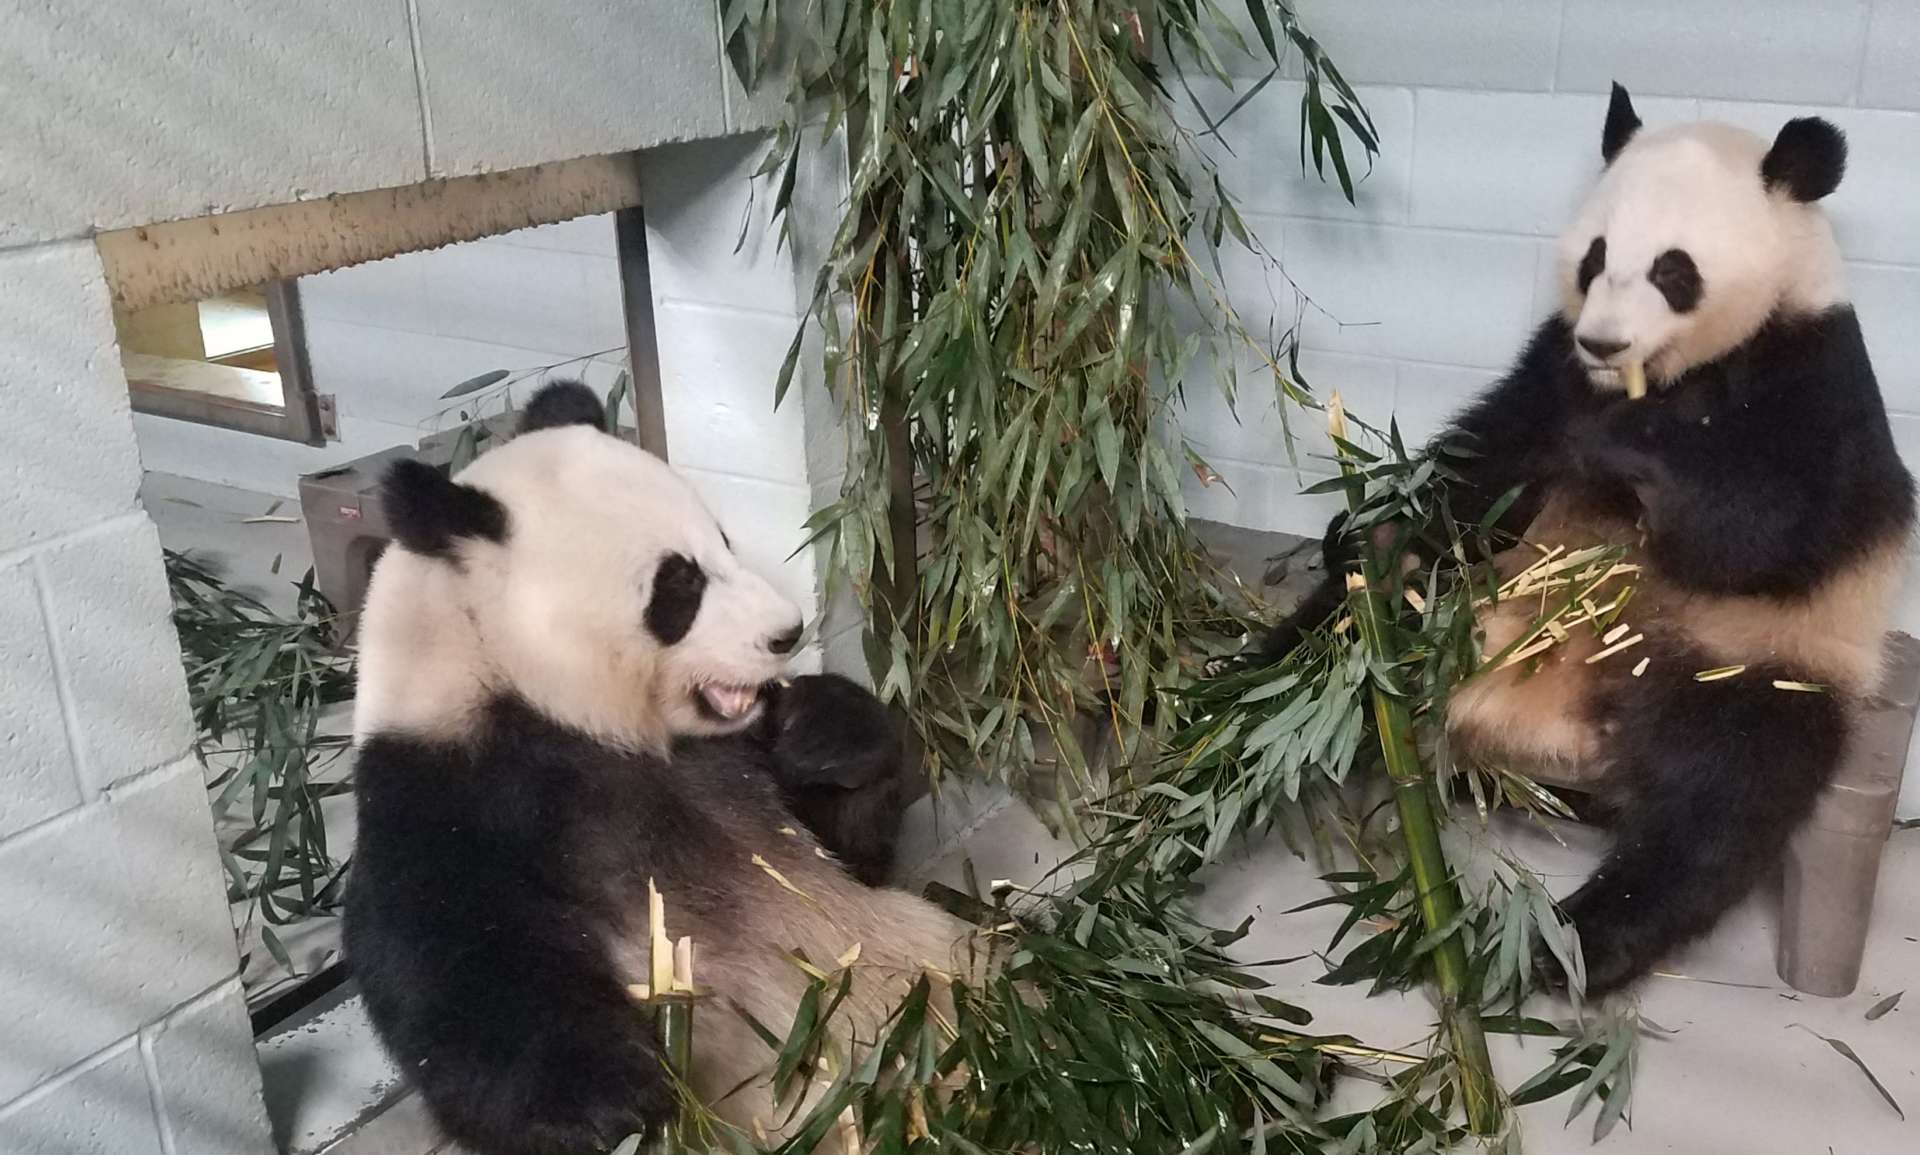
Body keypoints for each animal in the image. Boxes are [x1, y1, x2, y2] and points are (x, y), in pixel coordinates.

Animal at [342, 381, 969, 1154]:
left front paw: (822, 729)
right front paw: (617, 1098)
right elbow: (454, 971)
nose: (787, 631)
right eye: (679, 585)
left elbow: (854, 855)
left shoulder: (733, 761)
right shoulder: (448, 789)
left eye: (724, 541)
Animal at [1249, 85, 1915, 995]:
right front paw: (1358, 524)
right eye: (1595, 258)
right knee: (1336, 636)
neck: (1668, 375)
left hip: (1750, 659)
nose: (1603, 341)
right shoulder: (1548, 371)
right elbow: (1486, 463)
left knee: (1721, 800)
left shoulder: (1814, 378)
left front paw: (1632, 446)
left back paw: (1565, 944)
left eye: (1674, 270)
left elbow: (1762, 530)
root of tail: (1541, 724)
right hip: (1436, 608)